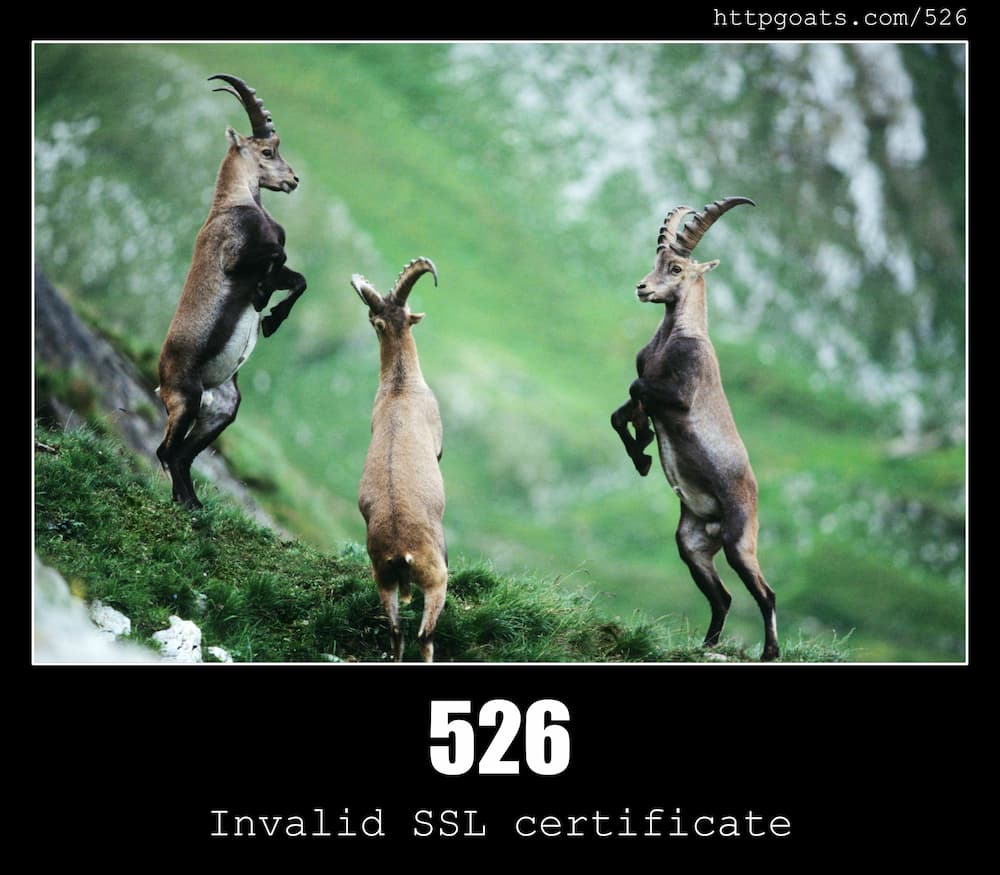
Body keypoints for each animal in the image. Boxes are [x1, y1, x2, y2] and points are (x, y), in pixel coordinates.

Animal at [156, 74, 307, 508]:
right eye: (268, 150)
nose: (293, 180)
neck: (234, 203)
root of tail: (161, 384)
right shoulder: (235, 259)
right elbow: (277, 253)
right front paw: (263, 301)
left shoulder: (272, 267)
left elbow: (297, 278)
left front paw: (270, 317)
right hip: (185, 398)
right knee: (166, 451)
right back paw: (183, 503)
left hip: (222, 410)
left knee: (184, 455)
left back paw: (194, 505)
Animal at [610, 197, 779, 661]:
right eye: (656, 262)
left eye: (677, 268)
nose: (642, 288)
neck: (673, 335)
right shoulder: (647, 380)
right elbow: (620, 411)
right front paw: (643, 453)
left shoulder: (681, 391)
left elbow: (637, 390)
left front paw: (644, 440)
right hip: (692, 546)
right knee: (723, 597)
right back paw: (708, 643)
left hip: (740, 540)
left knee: (765, 593)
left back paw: (770, 651)